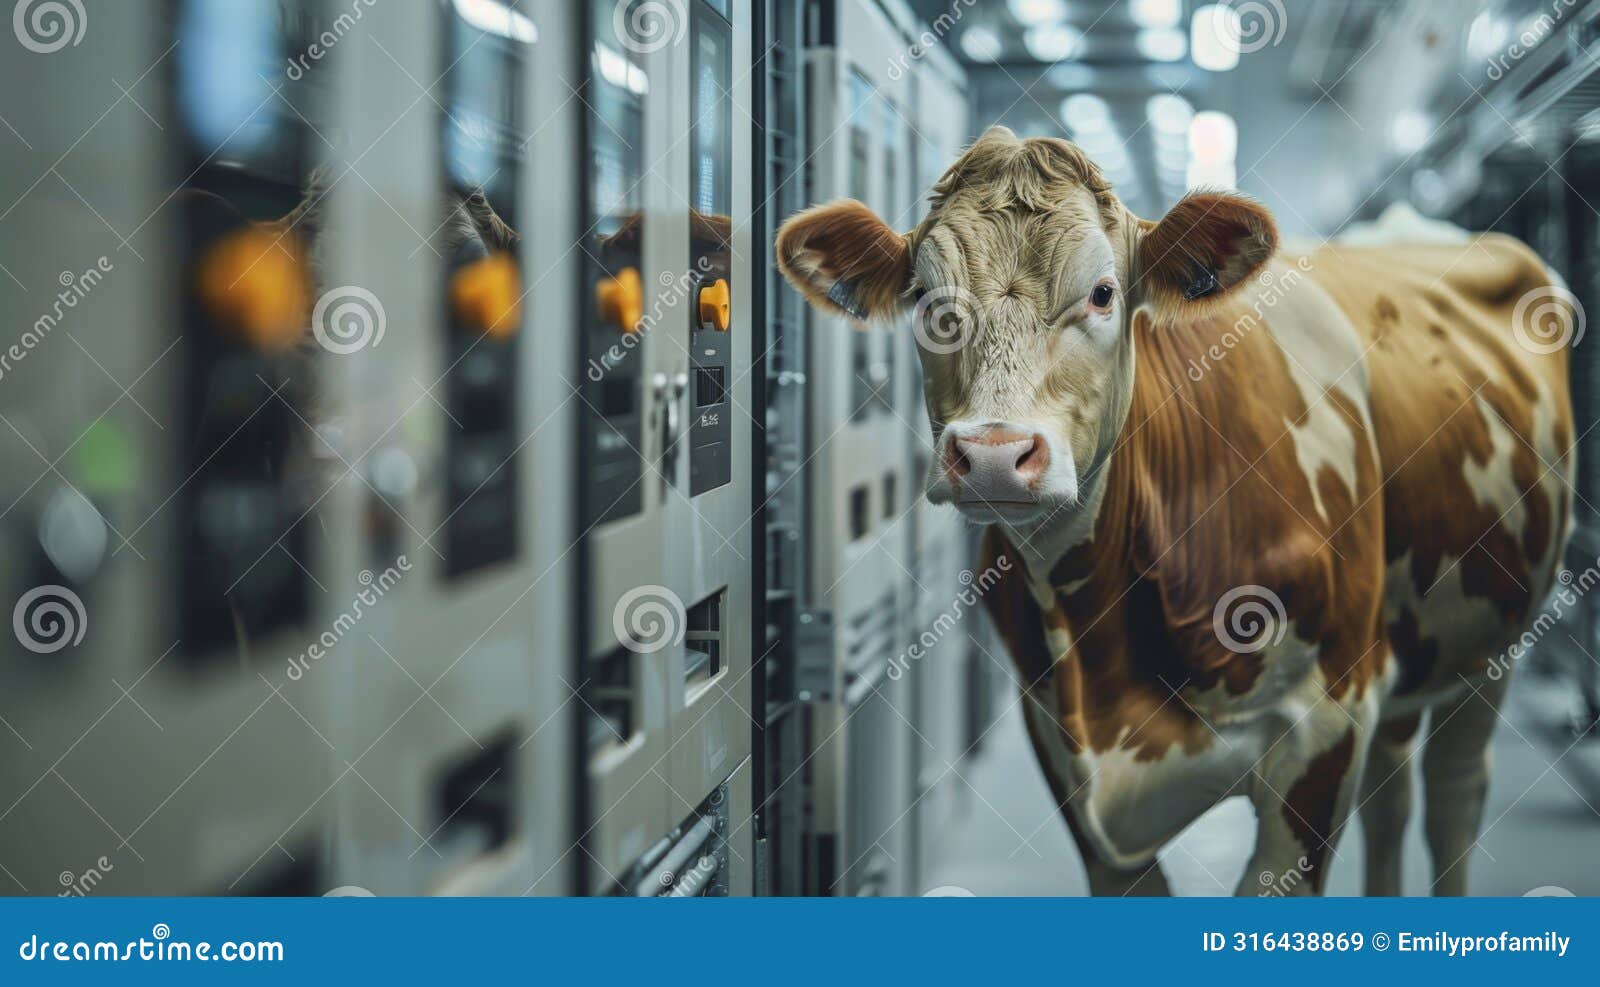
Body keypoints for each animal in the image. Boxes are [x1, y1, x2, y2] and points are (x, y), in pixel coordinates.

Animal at [775, 125, 1576, 895]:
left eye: (1103, 293)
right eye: (923, 301)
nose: (995, 453)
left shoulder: (1327, 725)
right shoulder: (1061, 749)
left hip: (1494, 643)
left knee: (1453, 794)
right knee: (1394, 793)